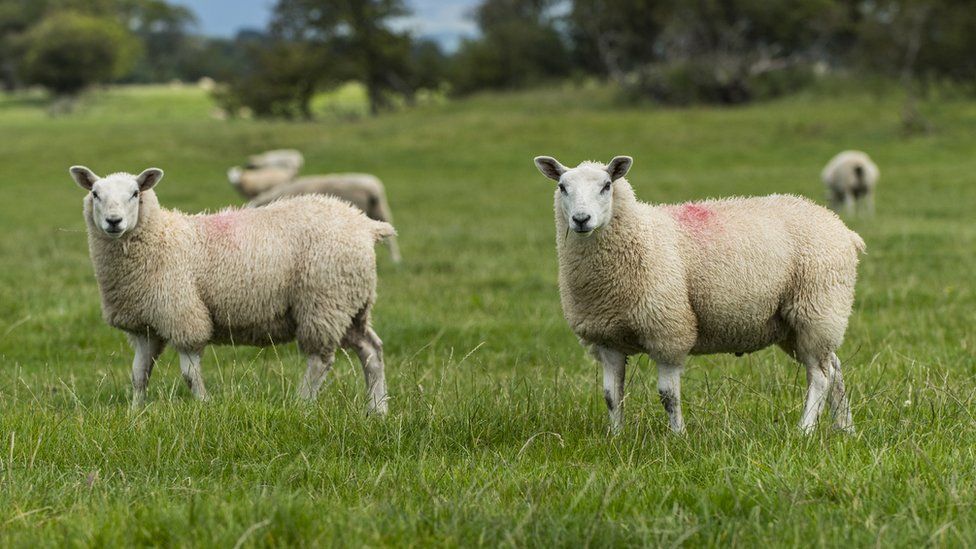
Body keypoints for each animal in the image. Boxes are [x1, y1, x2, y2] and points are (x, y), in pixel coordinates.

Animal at [533, 155, 866, 434]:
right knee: (833, 367)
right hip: (794, 324)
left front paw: (678, 437)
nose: (581, 219)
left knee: (820, 376)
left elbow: (668, 395)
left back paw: (805, 430)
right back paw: (846, 427)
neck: (641, 233)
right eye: (562, 187)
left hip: (817, 309)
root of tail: (843, 228)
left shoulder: (668, 331)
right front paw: (615, 438)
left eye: (606, 186)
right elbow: (611, 396)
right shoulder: (607, 338)